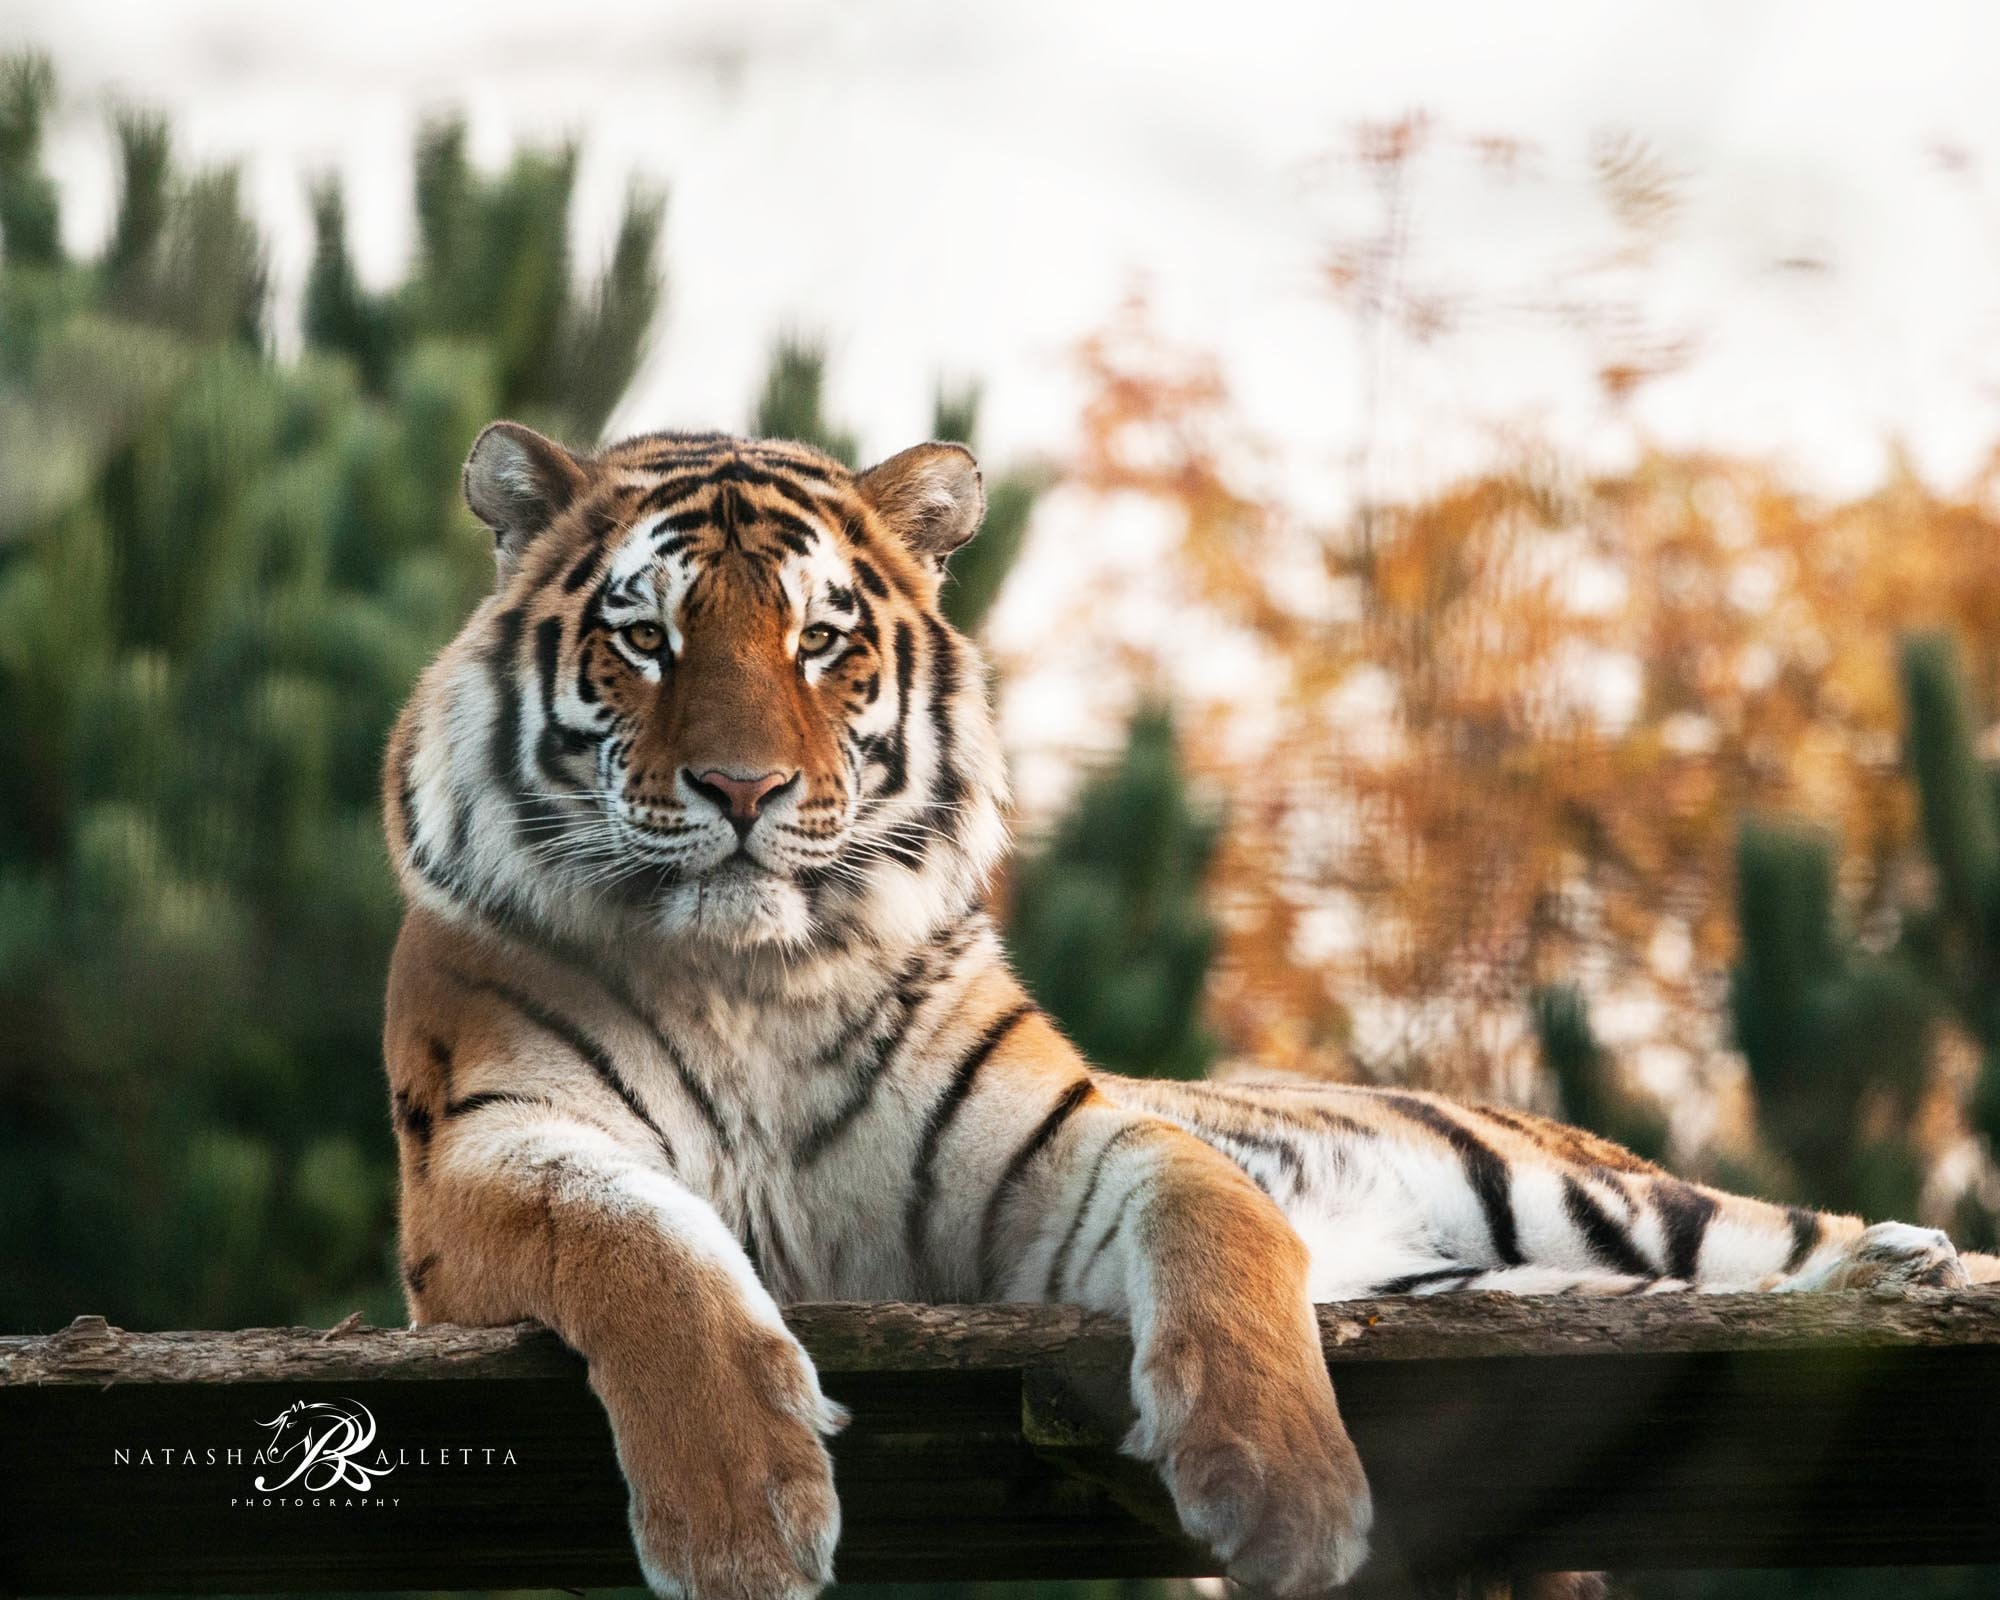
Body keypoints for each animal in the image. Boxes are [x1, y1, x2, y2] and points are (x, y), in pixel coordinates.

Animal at [382, 420, 1999, 1600]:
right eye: (646, 639)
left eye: (820, 643)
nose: (742, 790)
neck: (753, 979)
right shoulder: (483, 1158)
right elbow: (646, 1248)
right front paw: (742, 1522)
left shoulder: (1054, 1151)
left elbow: (1216, 1217)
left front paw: (1280, 1487)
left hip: (1564, 1186)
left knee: (1758, 1240)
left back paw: (1904, 1268)